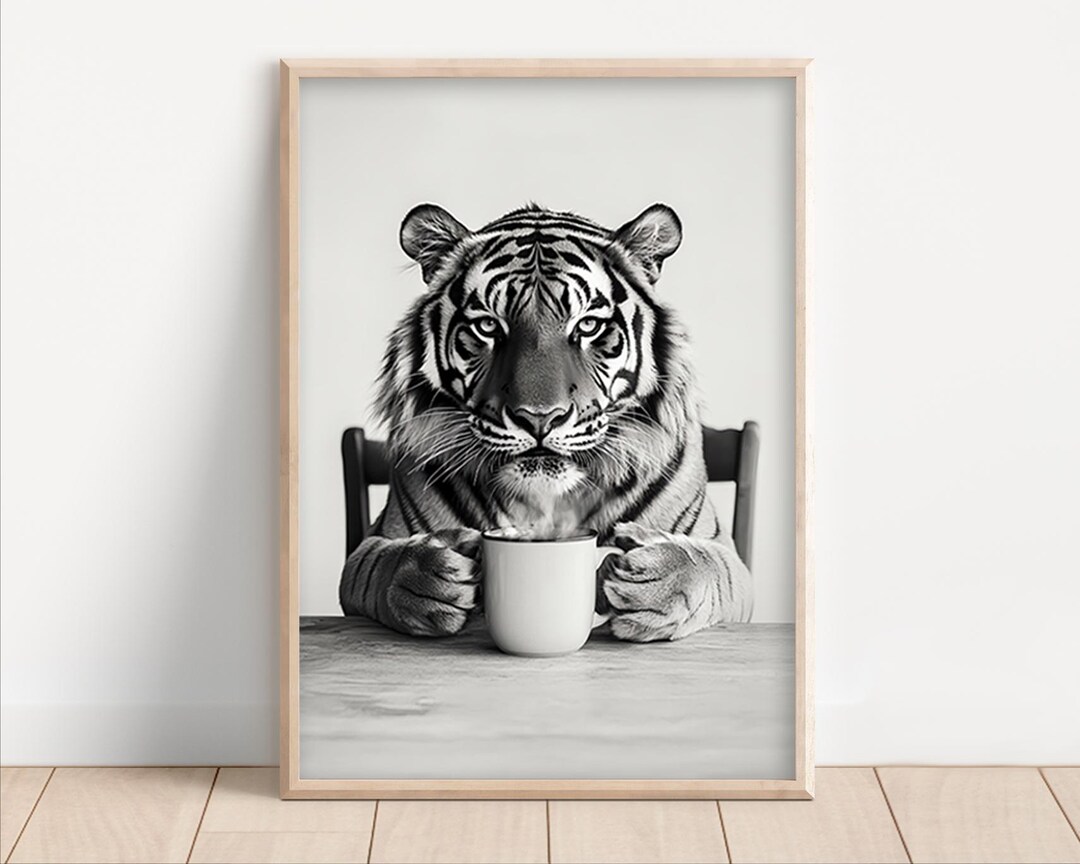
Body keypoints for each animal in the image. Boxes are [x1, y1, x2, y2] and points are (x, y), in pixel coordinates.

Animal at [339, 203, 753, 642]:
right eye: (488, 326)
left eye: (587, 325)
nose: (539, 418)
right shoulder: (371, 545)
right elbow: (380, 567)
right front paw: (429, 574)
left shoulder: (726, 553)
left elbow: (710, 567)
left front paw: (658, 581)